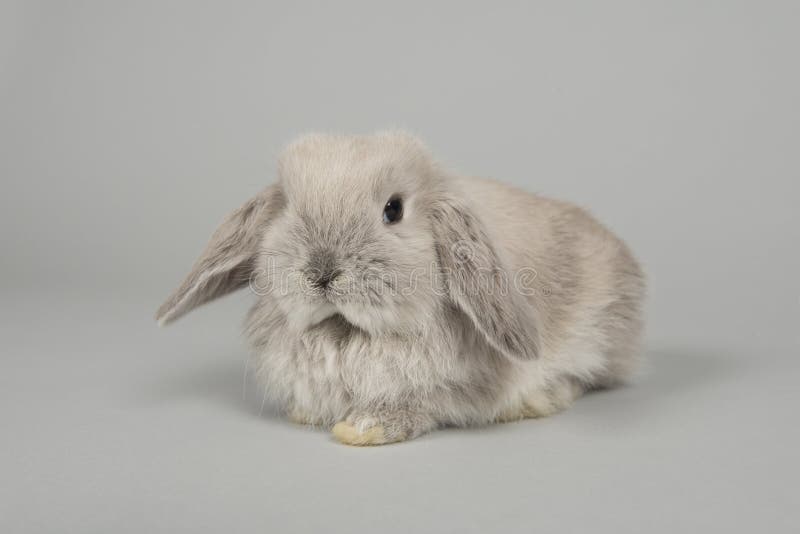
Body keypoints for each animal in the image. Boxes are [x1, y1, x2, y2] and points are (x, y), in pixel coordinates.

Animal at [156, 131, 645, 446]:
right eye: (289, 207)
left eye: (393, 210)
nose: (322, 272)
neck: (346, 332)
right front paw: (305, 414)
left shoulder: (454, 387)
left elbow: (428, 405)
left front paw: (365, 427)